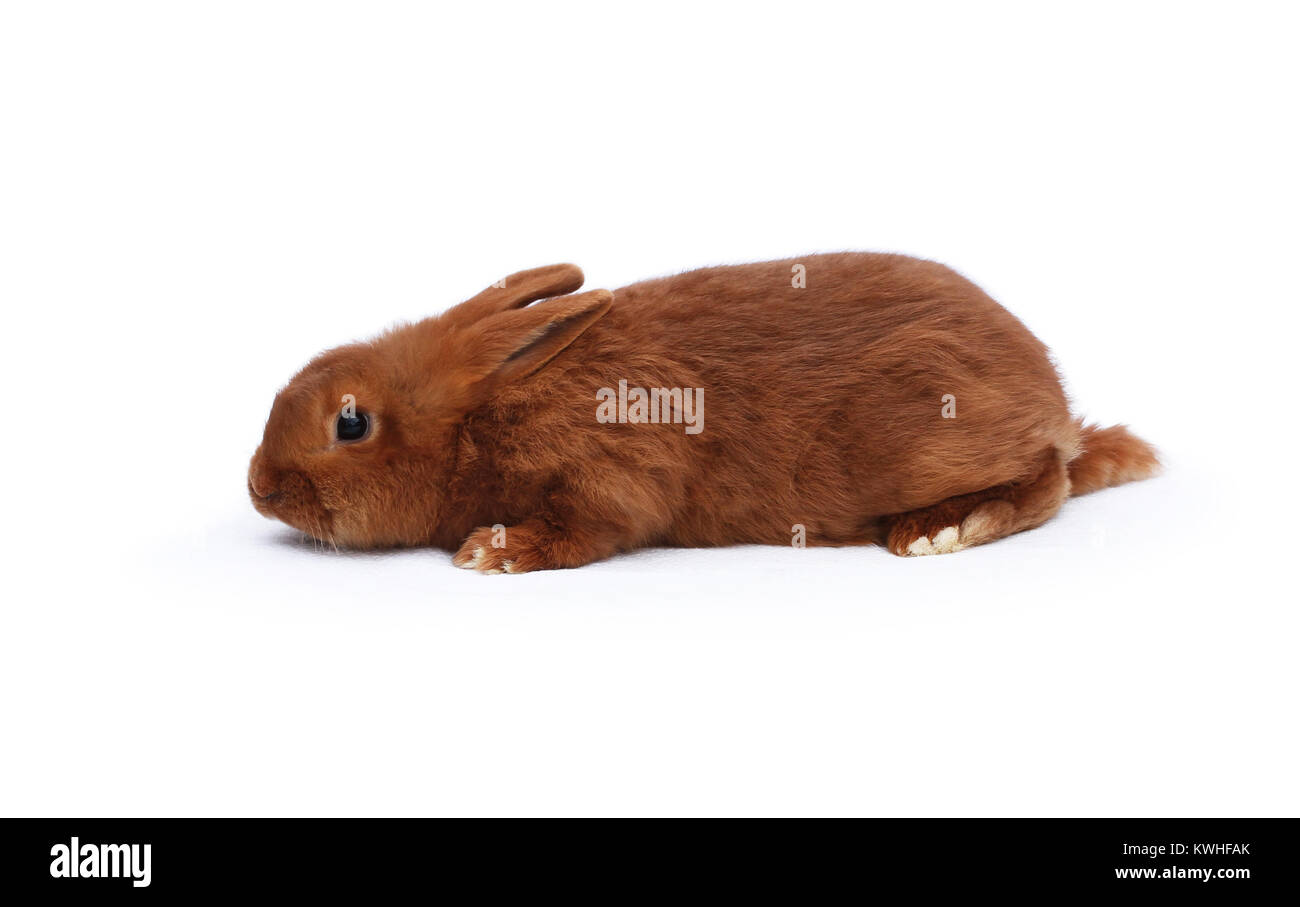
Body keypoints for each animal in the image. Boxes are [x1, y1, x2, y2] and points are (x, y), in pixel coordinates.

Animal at [248, 253, 1159, 572]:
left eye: (351, 424)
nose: (258, 487)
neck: (479, 418)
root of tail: (1050, 399)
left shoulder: (608, 471)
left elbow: (593, 525)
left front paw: (495, 550)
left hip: (930, 439)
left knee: (1048, 478)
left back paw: (938, 530)